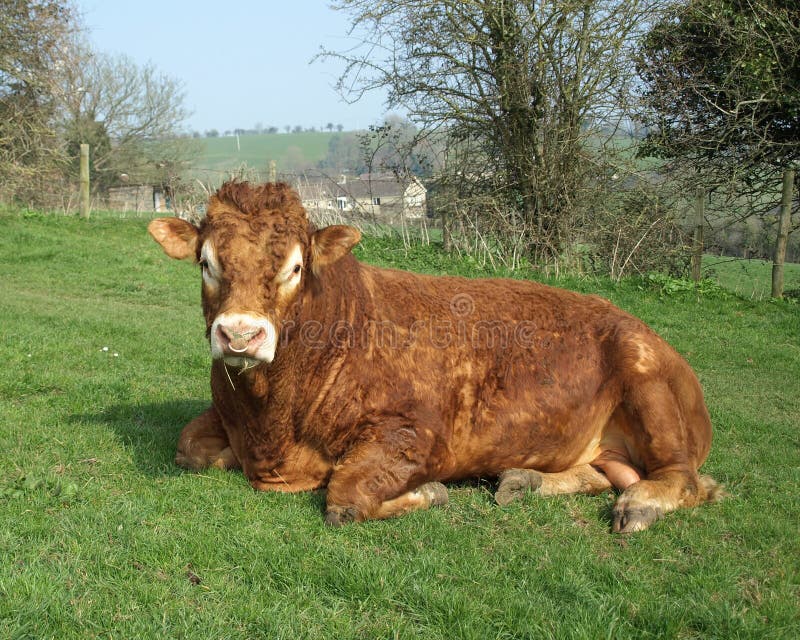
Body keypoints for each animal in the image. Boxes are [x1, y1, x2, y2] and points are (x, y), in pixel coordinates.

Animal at [148, 180, 720, 533]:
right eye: (206, 263)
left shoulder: (416, 432)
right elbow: (188, 448)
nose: (240, 335)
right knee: (607, 472)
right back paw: (524, 480)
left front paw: (429, 493)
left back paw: (639, 503)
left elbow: (345, 495)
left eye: (295, 267)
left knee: (686, 479)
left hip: (648, 380)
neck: (272, 421)